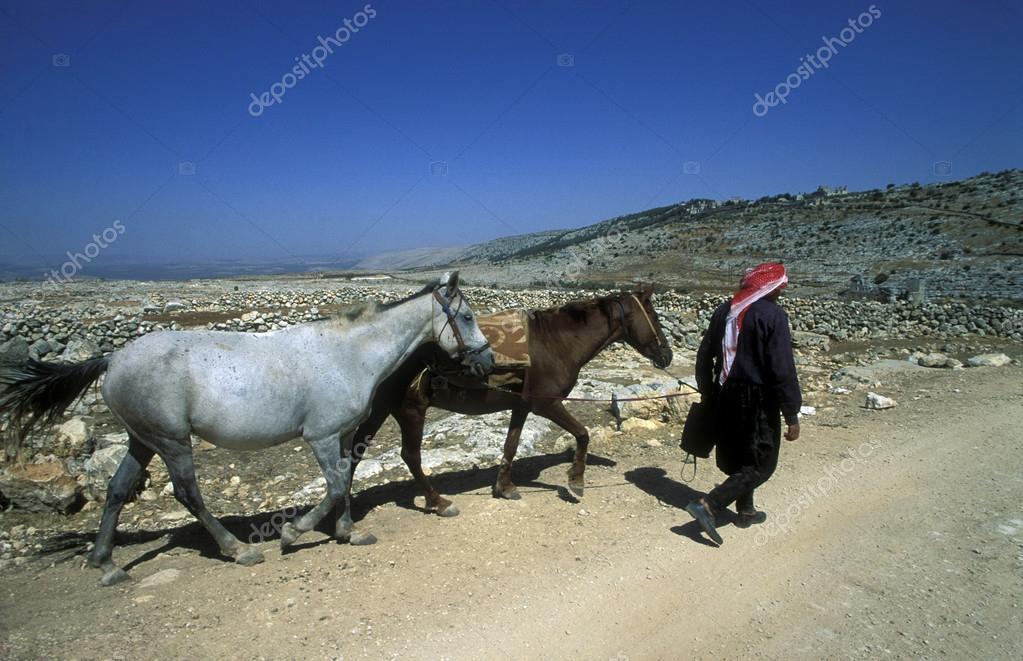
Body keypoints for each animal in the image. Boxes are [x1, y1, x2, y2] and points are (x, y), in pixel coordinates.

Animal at [0, 272, 494, 586]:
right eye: (467, 317)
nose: (487, 360)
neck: (349, 355)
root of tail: (113, 359)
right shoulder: (320, 437)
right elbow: (335, 486)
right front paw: (294, 533)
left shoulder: (343, 436)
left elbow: (344, 483)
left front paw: (349, 532)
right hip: (171, 441)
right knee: (187, 494)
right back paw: (239, 549)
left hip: (143, 441)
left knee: (118, 489)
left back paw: (105, 564)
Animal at [349, 286, 672, 516]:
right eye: (655, 316)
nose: (667, 355)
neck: (557, 342)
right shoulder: (546, 405)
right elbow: (582, 434)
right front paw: (576, 481)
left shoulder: (522, 406)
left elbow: (511, 445)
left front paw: (504, 487)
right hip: (410, 410)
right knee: (411, 456)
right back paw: (437, 502)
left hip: (379, 411)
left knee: (354, 454)